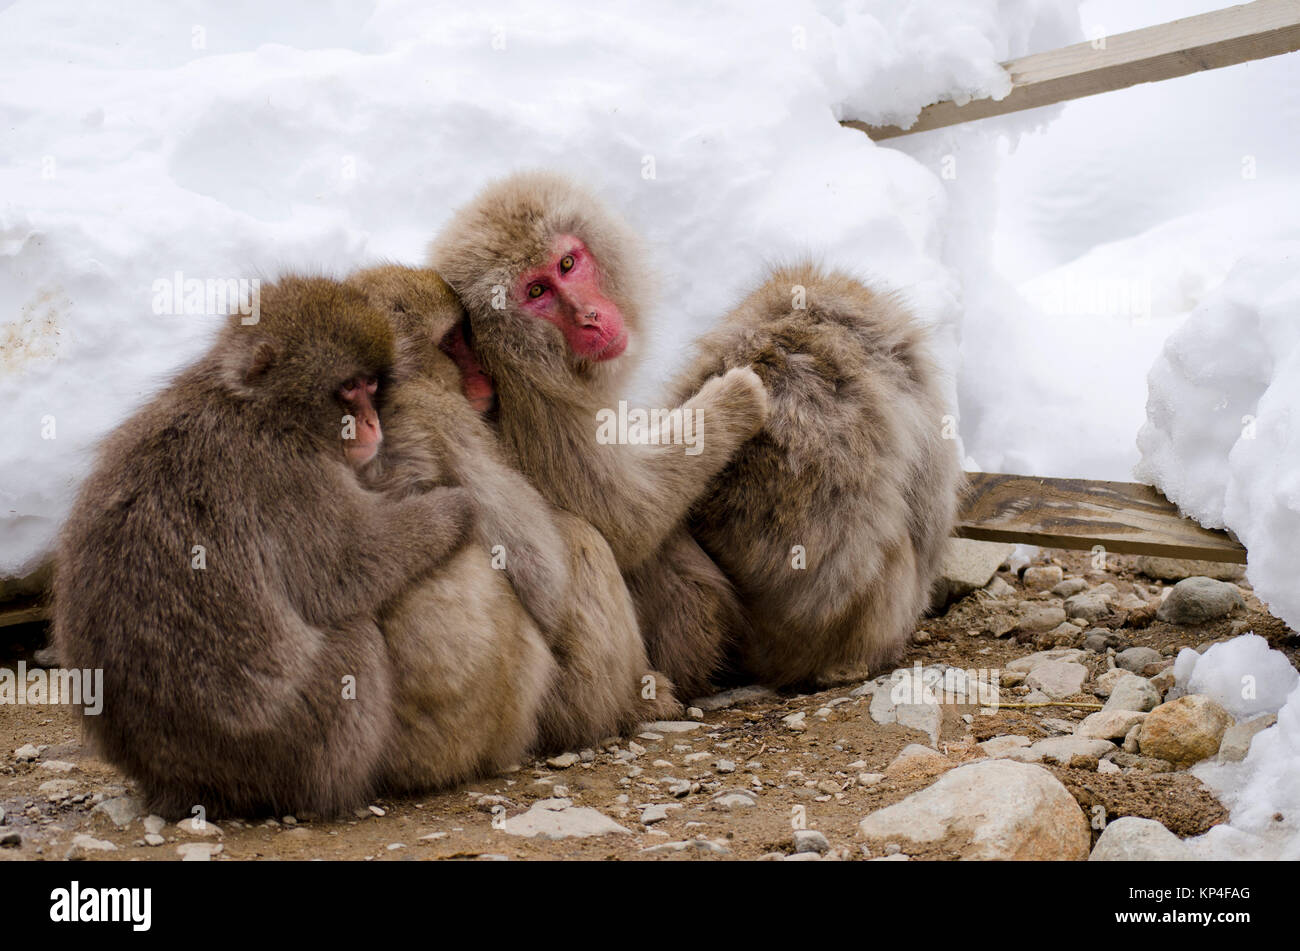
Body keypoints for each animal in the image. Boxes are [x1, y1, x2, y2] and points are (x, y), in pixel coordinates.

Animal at [52, 276, 473, 819]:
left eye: (372, 385)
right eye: (349, 387)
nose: (372, 424)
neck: (263, 408)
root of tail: (175, 778)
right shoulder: (289, 473)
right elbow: (349, 567)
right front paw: (454, 509)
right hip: (286, 738)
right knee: (356, 638)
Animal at [346, 265, 678, 762]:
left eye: (467, 335)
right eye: (452, 340)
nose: (484, 373)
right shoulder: (445, 414)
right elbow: (543, 573)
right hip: (533, 706)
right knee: (583, 541)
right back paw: (632, 704)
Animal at [428, 171, 770, 698]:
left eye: (567, 264)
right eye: (537, 291)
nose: (589, 316)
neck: (511, 356)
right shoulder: (541, 408)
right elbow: (625, 519)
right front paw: (735, 401)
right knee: (586, 535)